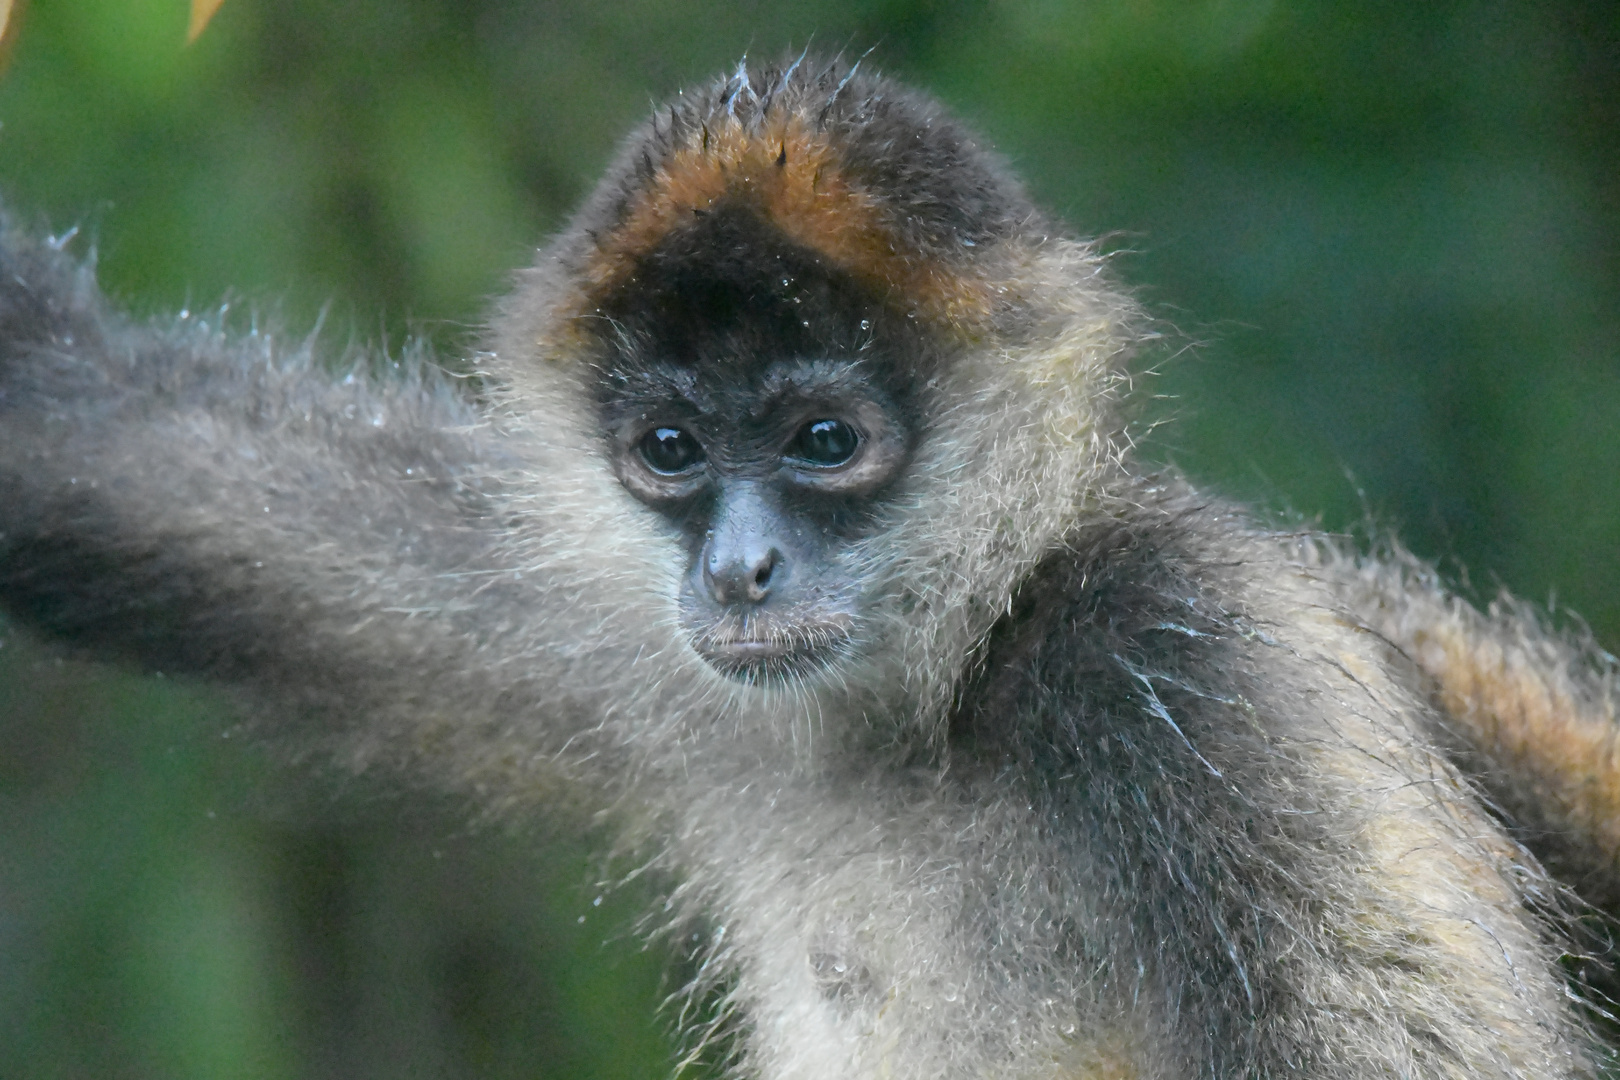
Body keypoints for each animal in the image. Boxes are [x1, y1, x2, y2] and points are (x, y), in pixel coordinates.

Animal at [3, 57, 1620, 1080]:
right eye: (669, 448)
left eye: (824, 441)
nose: (739, 570)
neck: (924, 714)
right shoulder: (599, 623)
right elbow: (77, 429)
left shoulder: (1171, 633)